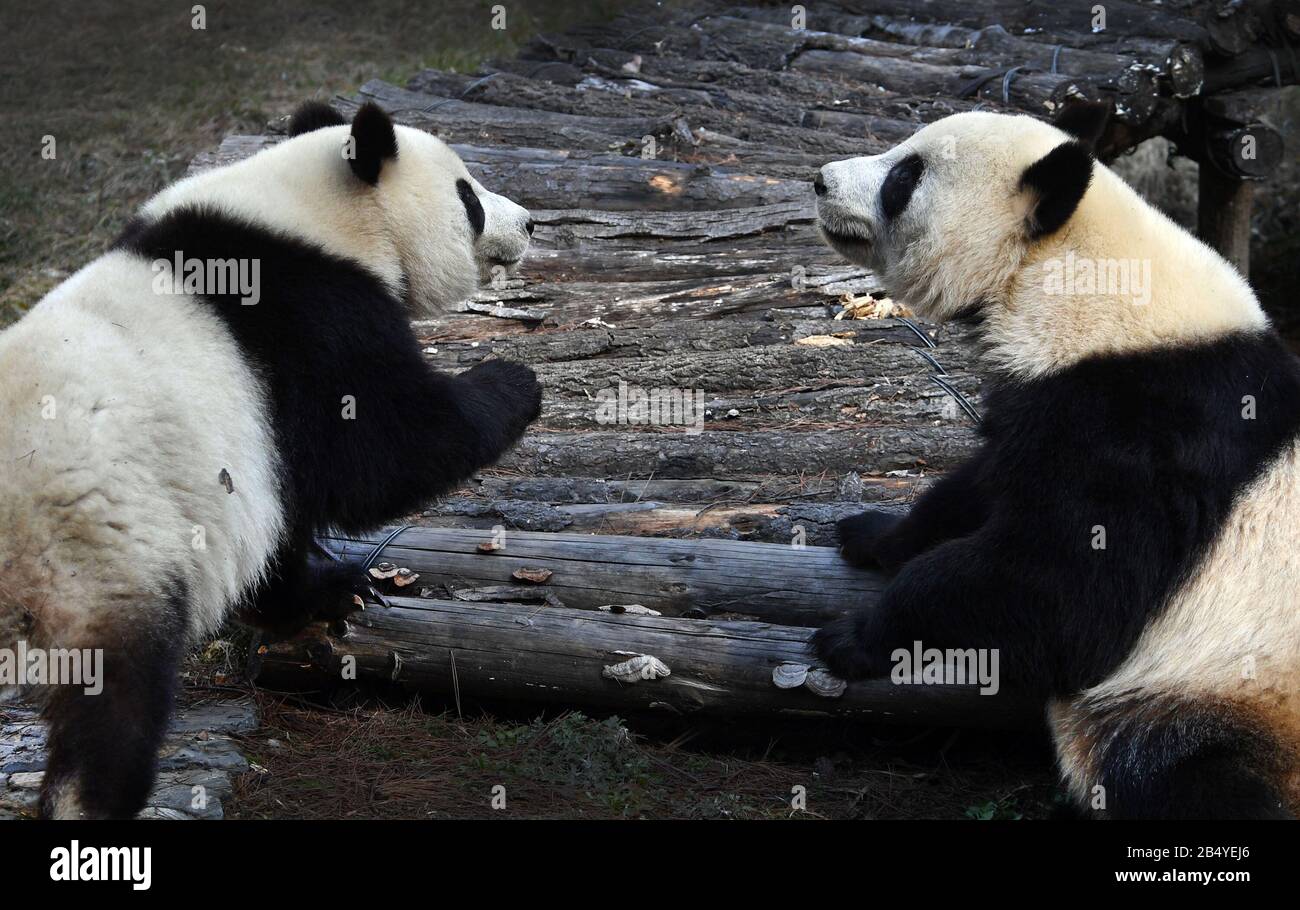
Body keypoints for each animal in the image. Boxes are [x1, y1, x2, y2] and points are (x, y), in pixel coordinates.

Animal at [0, 101, 542, 818]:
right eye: (469, 196)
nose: (529, 223)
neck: (315, 214)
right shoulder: (318, 327)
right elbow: (386, 454)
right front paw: (515, 382)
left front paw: (314, 591)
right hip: (91, 557)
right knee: (113, 704)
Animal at [811, 102, 1300, 819]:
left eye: (905, 176)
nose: (819, 180)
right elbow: (979, 487)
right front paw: (873, 532)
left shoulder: (1143, 429)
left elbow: (1064, 583)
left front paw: (855, 637)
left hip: (1230, 690)